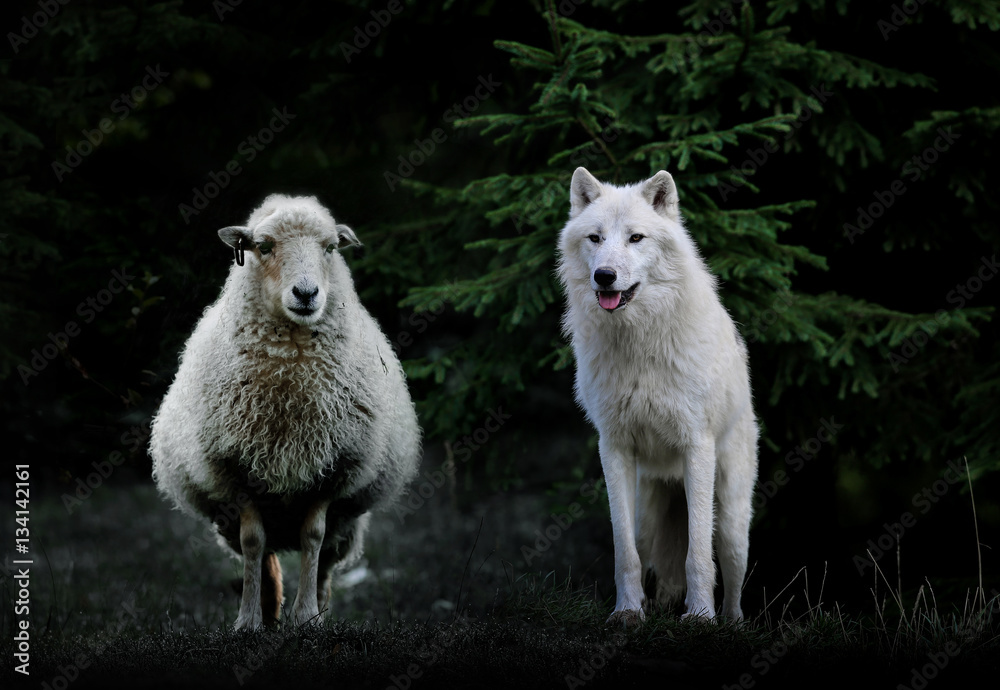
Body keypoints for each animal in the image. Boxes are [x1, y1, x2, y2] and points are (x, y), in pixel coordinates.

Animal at [150, 194, 421, 630]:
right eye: (263, 246)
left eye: (331, 247)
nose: (307, 293)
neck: (290, 375)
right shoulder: (238, 471)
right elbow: (253, 543)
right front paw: (247, 621)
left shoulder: (330, 471)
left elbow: (313, 538)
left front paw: (306, 616)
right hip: (232, 517)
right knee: (266, 556)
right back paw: (269, 611)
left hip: (347, 520)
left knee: (326, 559)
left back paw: (317, 612)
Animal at [557, 167, 759, 625]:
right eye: (595, 238)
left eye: (636, 238)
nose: (604, 276)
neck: (638, 340)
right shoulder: (613, 447)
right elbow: (624, 553)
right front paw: (627, 613)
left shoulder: (697, 445)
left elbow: (698, 555)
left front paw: (700, 617)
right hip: (647, 508)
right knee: (651, 556)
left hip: (732, 518)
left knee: (732, 574)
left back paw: (731, 624)